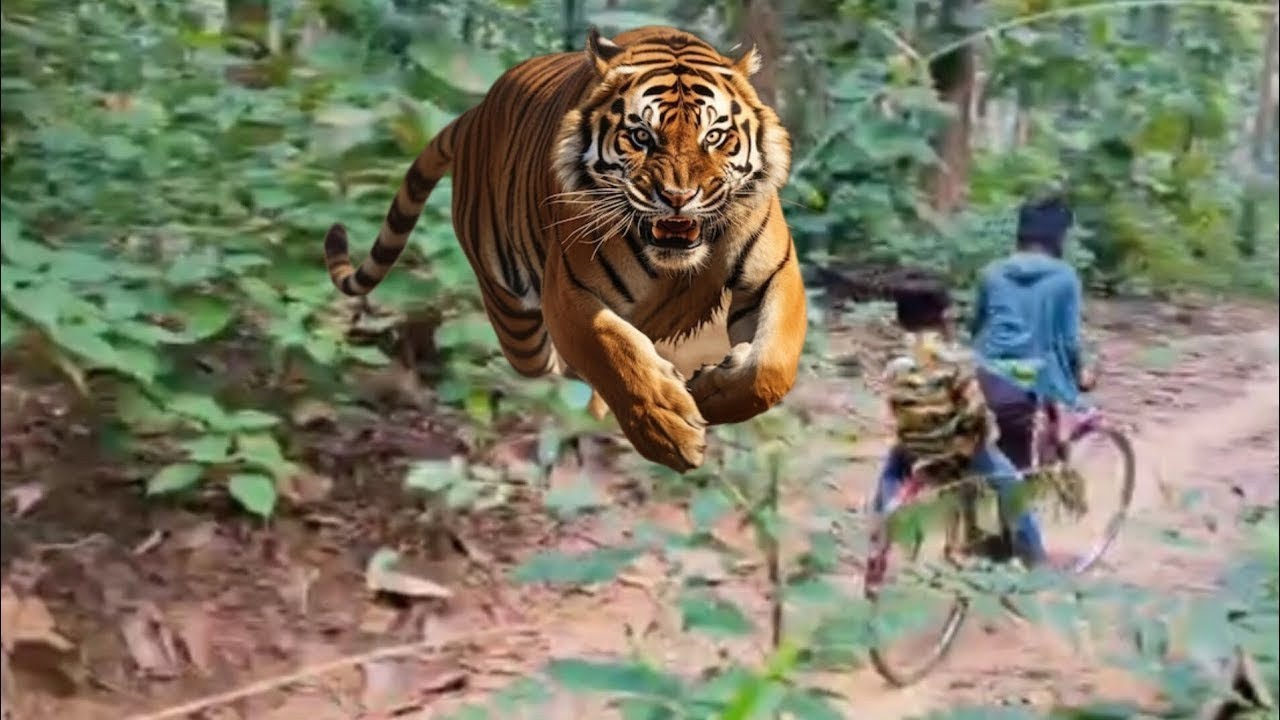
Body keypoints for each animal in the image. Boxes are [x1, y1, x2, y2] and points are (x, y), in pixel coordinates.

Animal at [322, 26, 807, 473]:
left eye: (714, 136)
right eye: (641, 136)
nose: (678, 197)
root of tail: (476, 112)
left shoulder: (776, 272)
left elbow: (772, 366)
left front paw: (713, 391)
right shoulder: (569, 291)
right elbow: (611, 352)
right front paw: (668, 431)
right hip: (516, 321)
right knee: (554, 369)